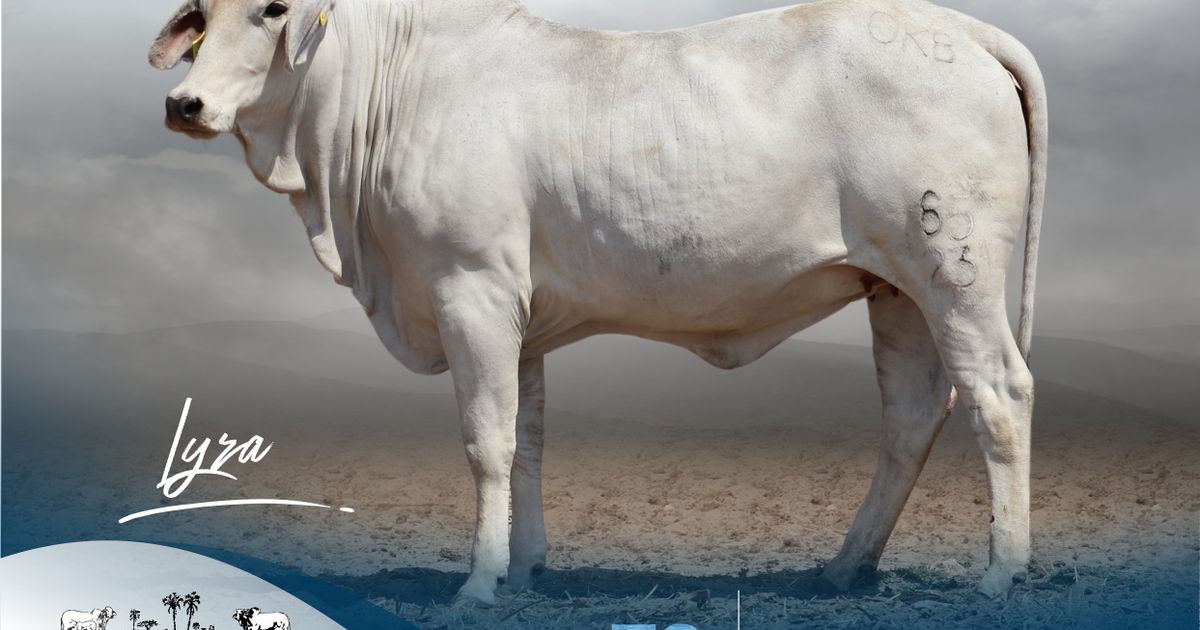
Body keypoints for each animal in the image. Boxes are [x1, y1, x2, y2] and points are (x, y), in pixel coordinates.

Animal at [149, 0, 1047, 604]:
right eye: (203, 15)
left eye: (273, 9)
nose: (183, 103)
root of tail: (963, 29)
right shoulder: (519, 317)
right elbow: (528, 440)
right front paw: (527, 567)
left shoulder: (470, 288)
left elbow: (486, 441)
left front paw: (479, 585)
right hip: (895, 290)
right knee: (912, 416)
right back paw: (844, 567)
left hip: (953, 274)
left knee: (999, 396)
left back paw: (1000, 575)